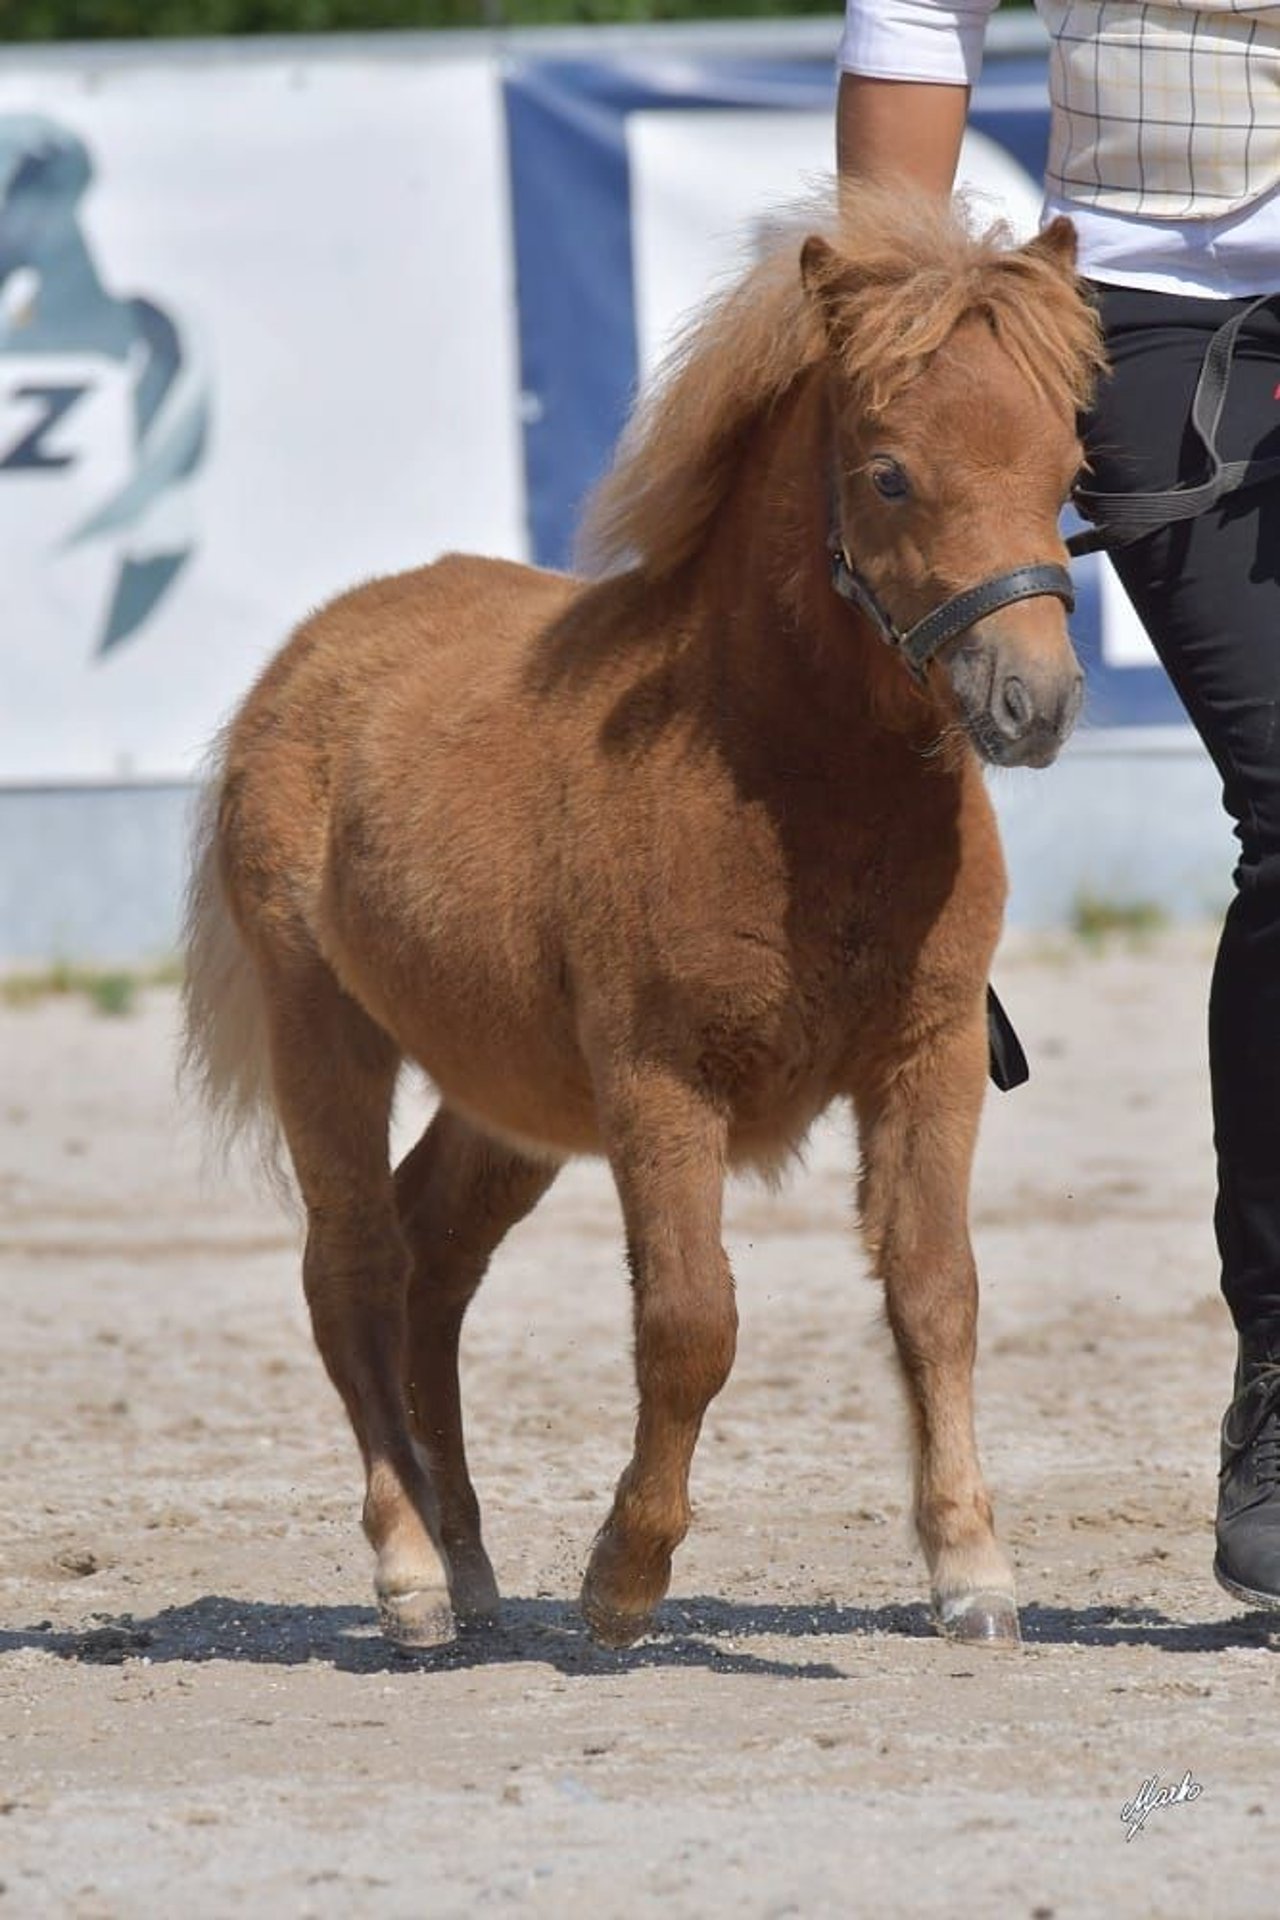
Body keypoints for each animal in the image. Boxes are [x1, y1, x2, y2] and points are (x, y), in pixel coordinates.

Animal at [183, 187, 1103, 1653]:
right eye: (889, 475)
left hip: (507, 1094)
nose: (1034, 702)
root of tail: (311, 652)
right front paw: (624, 1575)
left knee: (433, 1264)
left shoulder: (931, 1053)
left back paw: (469, 1557)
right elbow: (689, 1319)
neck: (790, 785)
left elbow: (934, 1293)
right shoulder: (662, 1081)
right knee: (354, 1269)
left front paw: (971, 1569)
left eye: (1066, 462)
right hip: (322, 1032)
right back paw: (410, 1571)